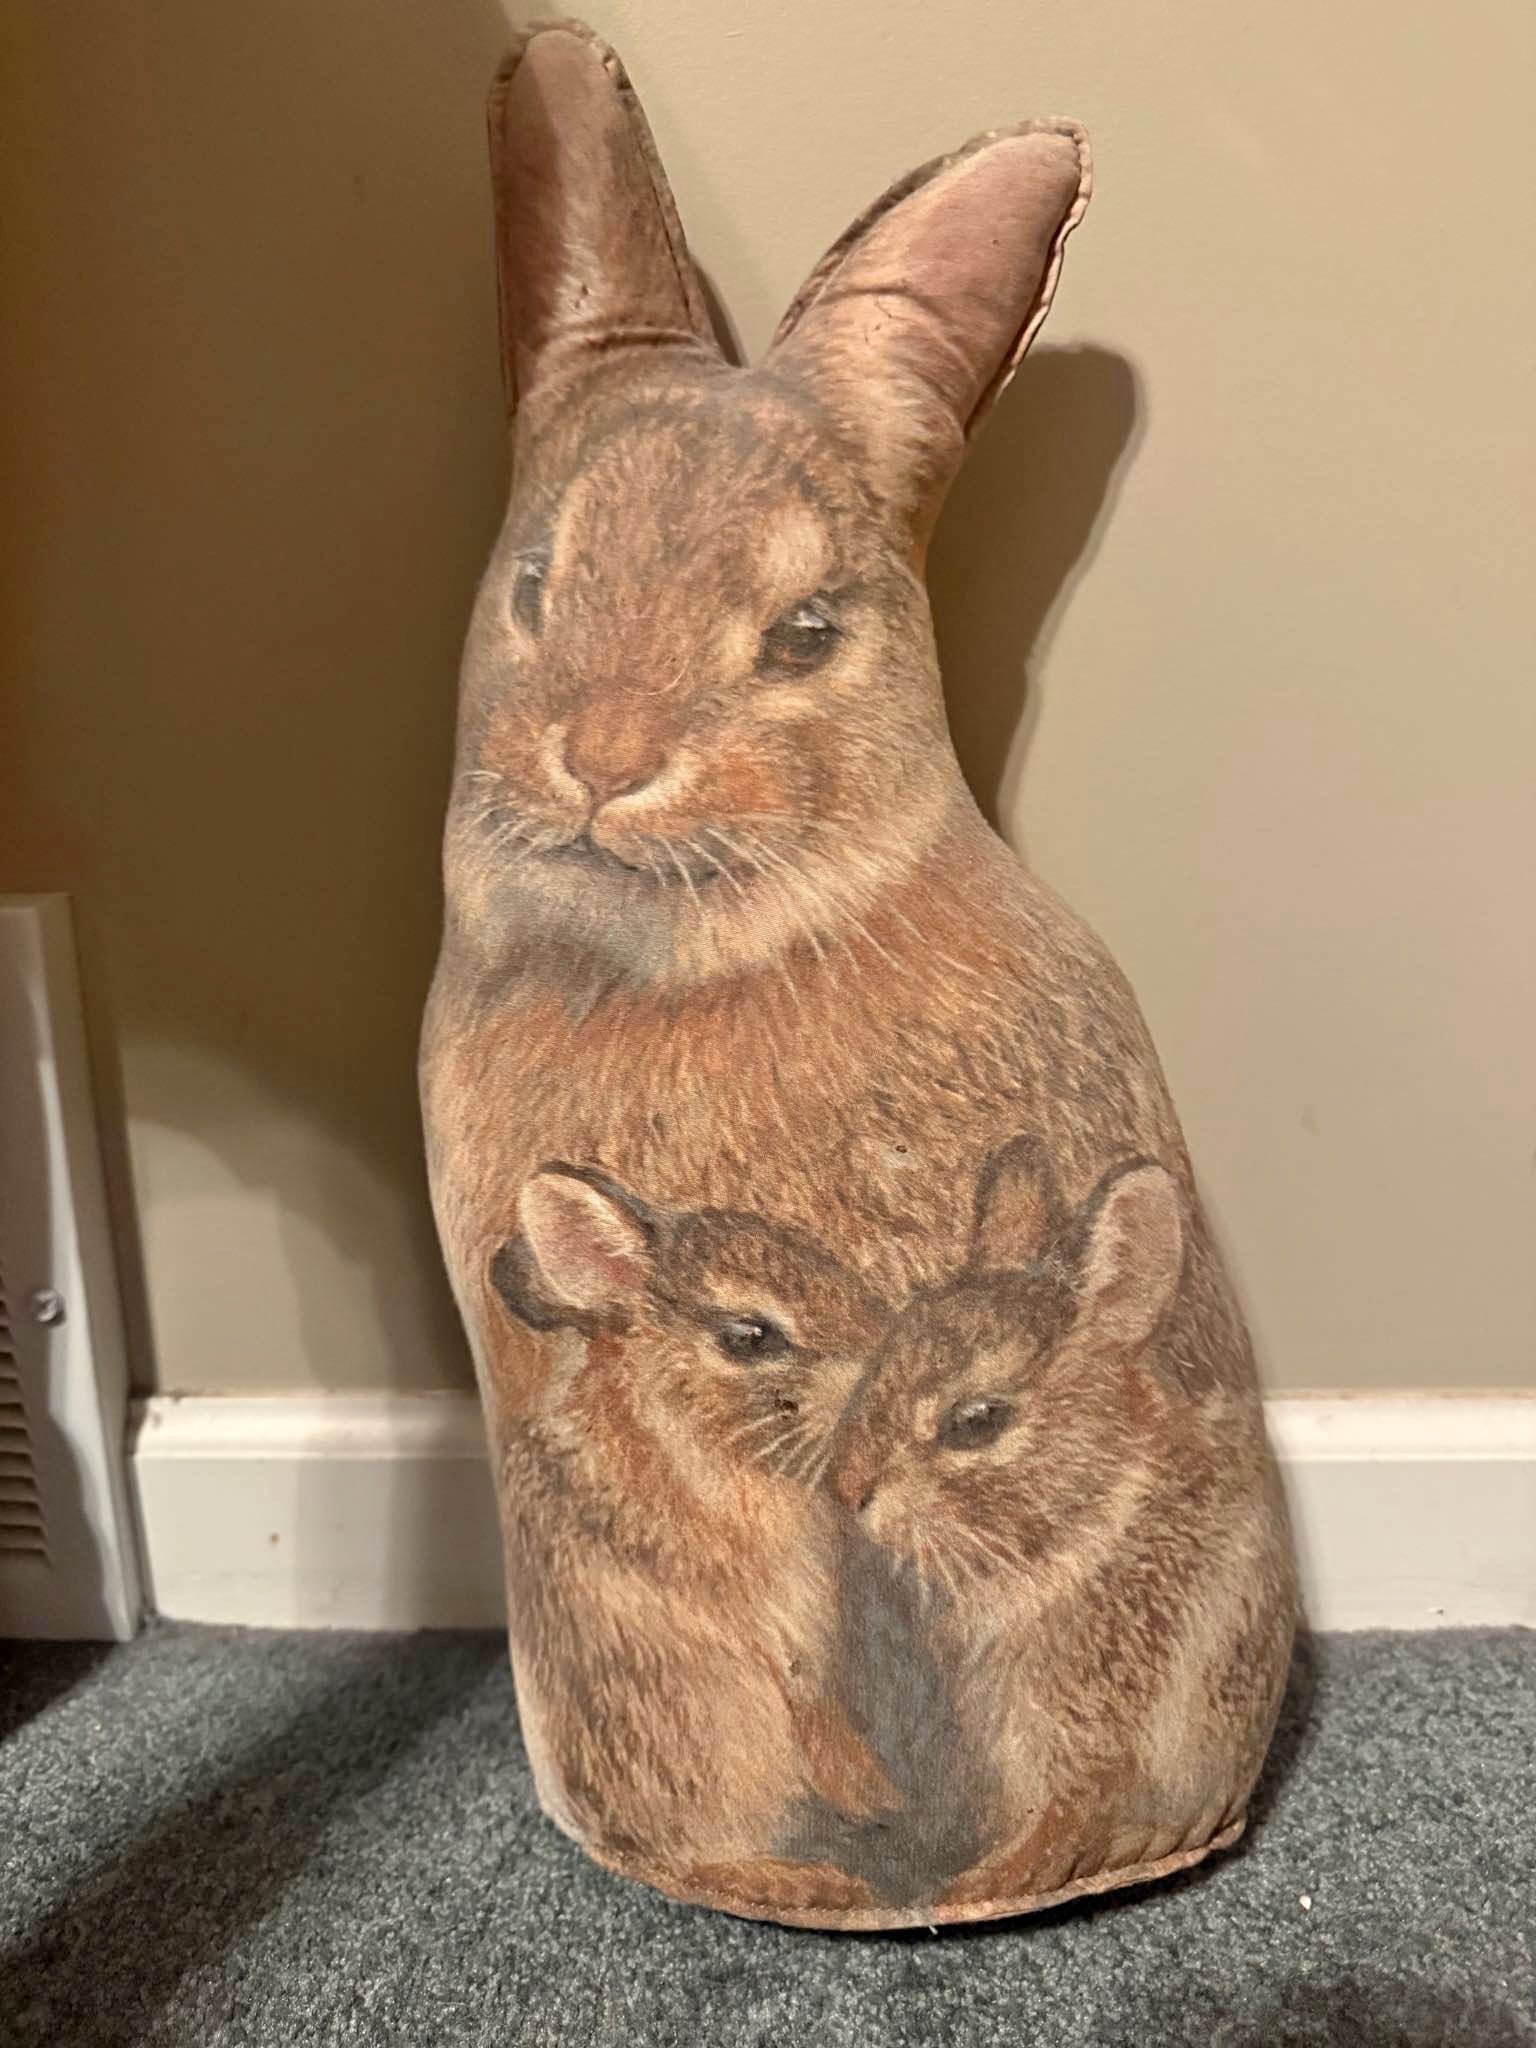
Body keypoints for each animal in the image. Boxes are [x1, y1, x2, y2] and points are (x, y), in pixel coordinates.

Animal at [828, 1138, 1298, 1917]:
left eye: (977, 1420)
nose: (846, 1489)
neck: (1095, 1523)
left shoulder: (1093, 1744)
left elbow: (1055, 1834)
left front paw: (974, 1887)